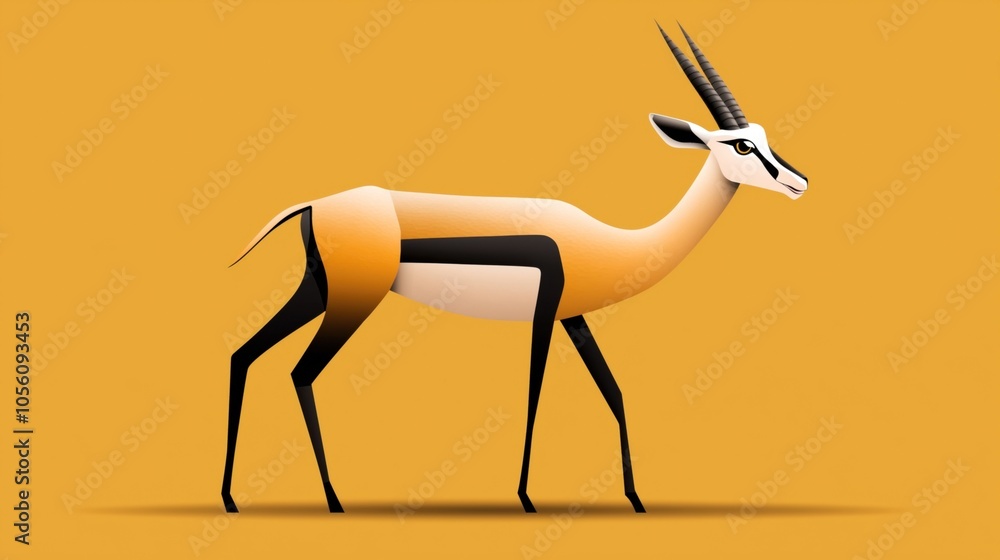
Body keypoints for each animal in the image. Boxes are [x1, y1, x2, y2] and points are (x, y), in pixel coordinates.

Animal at [221, 22, 808, 514]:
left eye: (762, 135)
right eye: (741, 145)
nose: (798, 181)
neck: (611, 243)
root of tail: (315, 203)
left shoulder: (574, 318)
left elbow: (614, 391)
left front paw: (636, 499)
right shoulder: (546, 312)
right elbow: (535, 392)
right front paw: (526, 497)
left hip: (317, 291)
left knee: (243, 355)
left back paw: (231, 499)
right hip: (351, 301)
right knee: (301, 372)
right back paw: (333, 499)